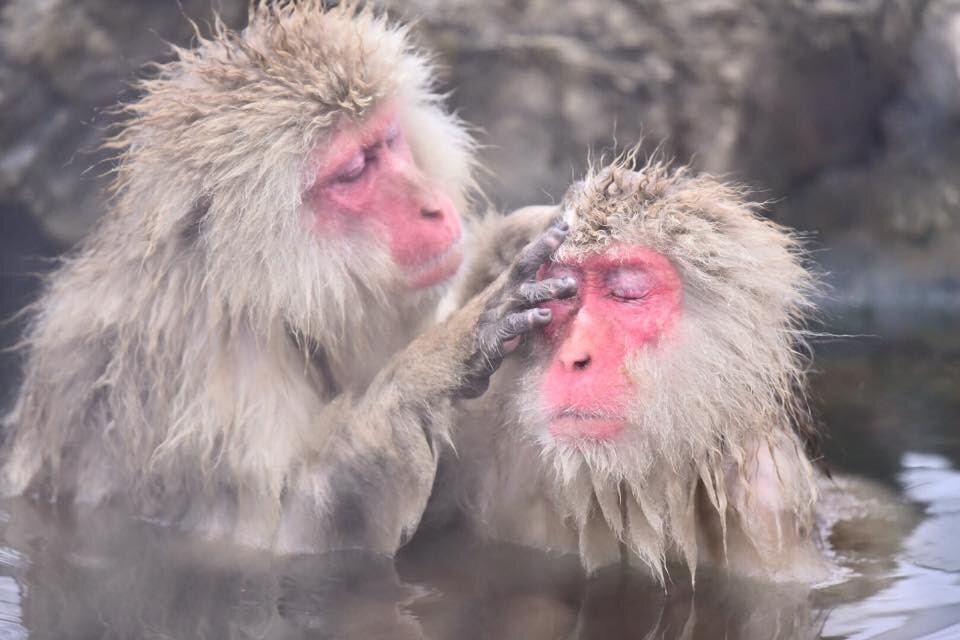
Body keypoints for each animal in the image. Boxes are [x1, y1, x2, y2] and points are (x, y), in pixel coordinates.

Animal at [0, 1, 577, 555]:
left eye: (389, 141)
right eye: (353, 172)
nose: (432, 207)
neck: (262, 297)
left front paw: (505, 243)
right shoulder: (206, 389)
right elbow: (297, 531)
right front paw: (445, 354)